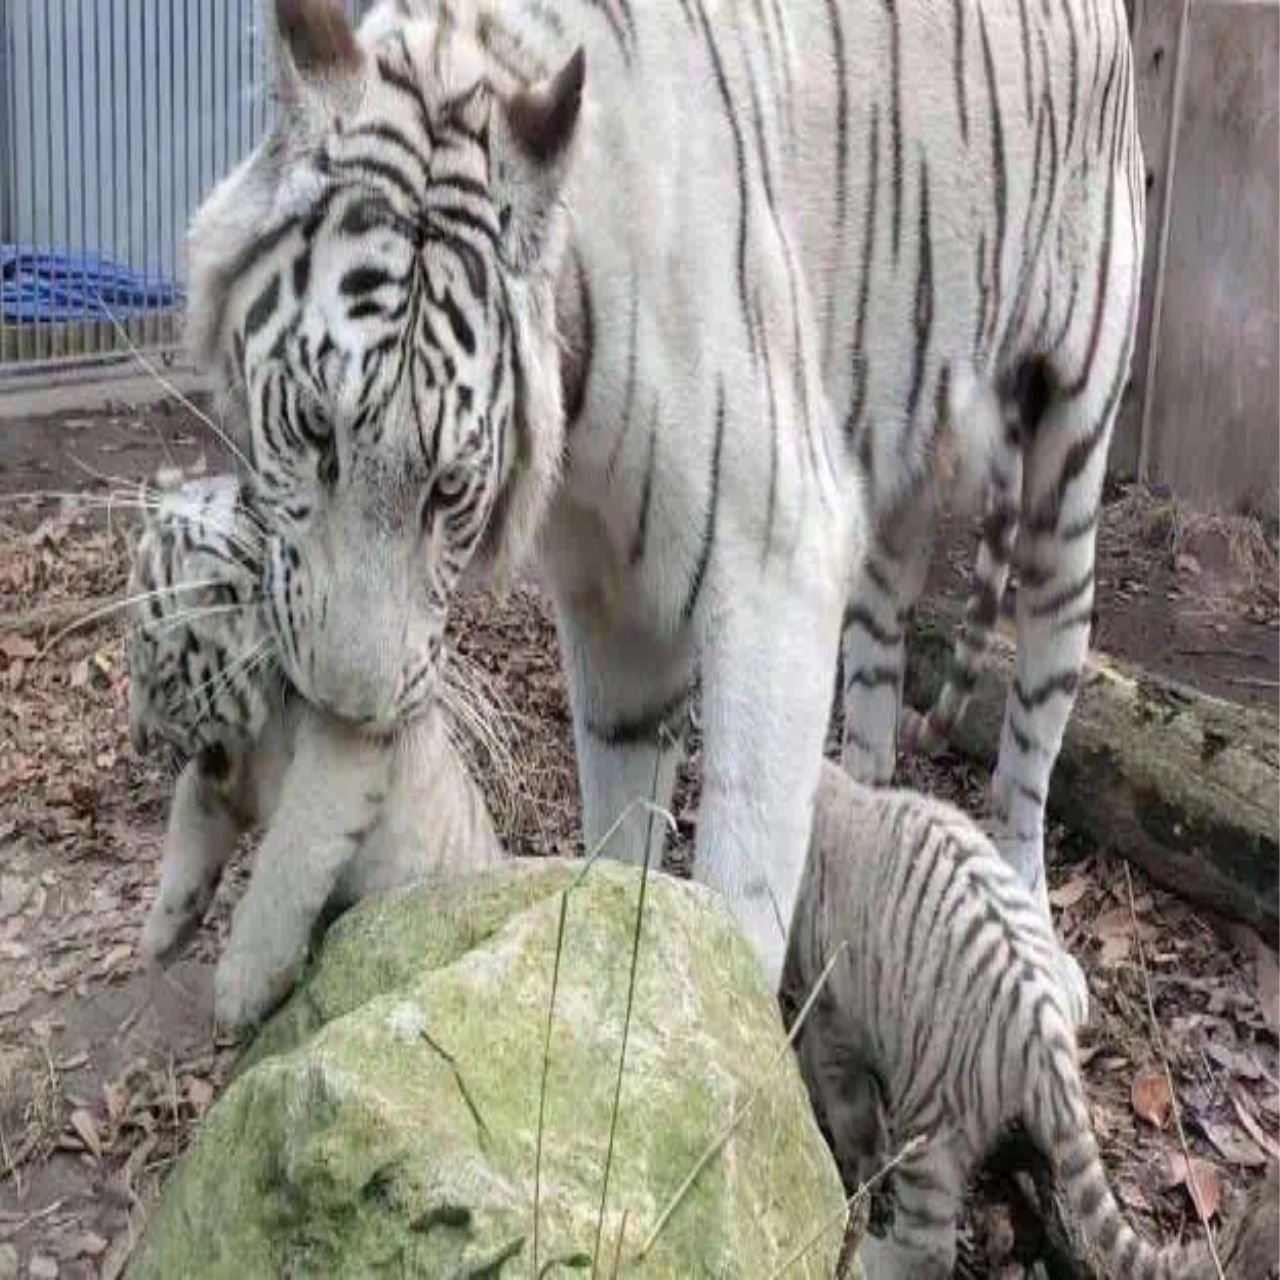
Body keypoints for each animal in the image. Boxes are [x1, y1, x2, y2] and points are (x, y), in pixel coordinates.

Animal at [127, 471, 502, 1030]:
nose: (252, 496)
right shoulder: (224, 771)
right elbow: (189, 817)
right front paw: (163, 931)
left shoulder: (342, 751)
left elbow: (289, 854)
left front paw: (242, 987)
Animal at [185, 0, 1143, 986]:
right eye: (313, 427)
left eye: (449, 488)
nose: (346, 711)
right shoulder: (609, 597)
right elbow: (621, 820)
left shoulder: (780, 563)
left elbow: (744, 875)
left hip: (1067, 466)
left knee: (1037, 720)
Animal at [780, 761, 1237, 1279]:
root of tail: (1041, 1017)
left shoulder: (833, 1012)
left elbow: (848, 1108)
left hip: (931, 1119)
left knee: (930, 1246)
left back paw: (870, 1257)